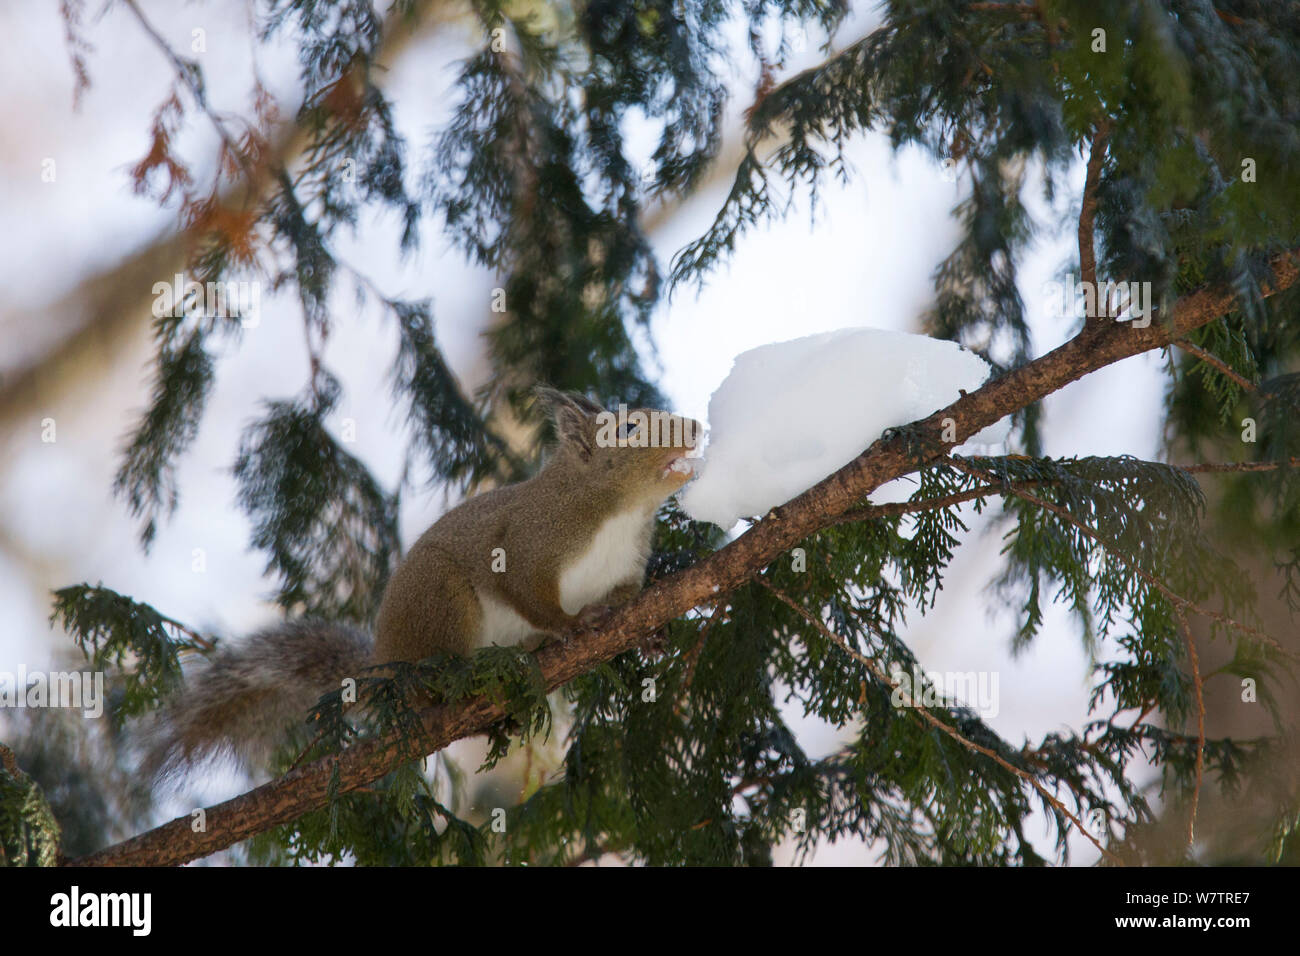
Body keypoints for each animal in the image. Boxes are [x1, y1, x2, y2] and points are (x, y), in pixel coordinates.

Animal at [144, 388, 701, 778]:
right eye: (629, 427)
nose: (696, 425)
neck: (619, 513)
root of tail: (388, 660)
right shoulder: (527, 544)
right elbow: (529, 593)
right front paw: (571, 624)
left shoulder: (625, 569)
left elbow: (628, 600)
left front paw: (650, 636)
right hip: (443, 601)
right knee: (435, 686)